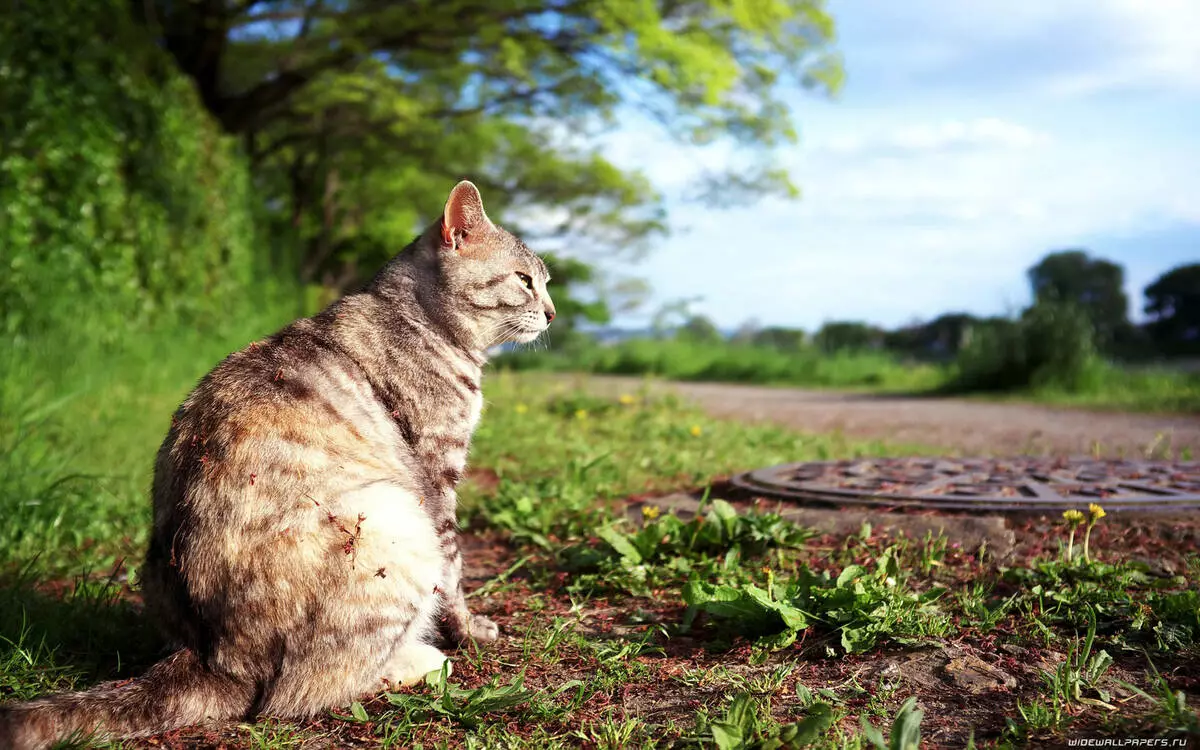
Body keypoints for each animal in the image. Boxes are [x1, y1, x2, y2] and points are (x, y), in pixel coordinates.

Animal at [0, 178, 556, 744]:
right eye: (525, 280)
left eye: (547, 282)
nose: (554, 312)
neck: (420, 319)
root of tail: (211, 657)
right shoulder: (437, 474)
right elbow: (455, 570)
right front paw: (469, 631)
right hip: (395, 515)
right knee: (305, 689)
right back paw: (420, 660)